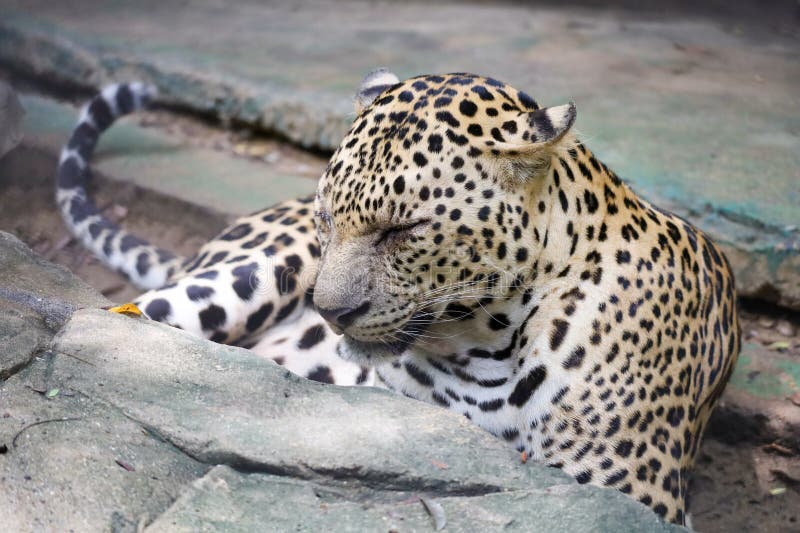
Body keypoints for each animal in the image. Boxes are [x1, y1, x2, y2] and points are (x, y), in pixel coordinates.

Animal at [55, 70, 740, 525]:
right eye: (329, 216)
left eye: (403, 230)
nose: (332, 314)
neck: (488, 343)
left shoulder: (628, 494)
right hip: (249, 274)